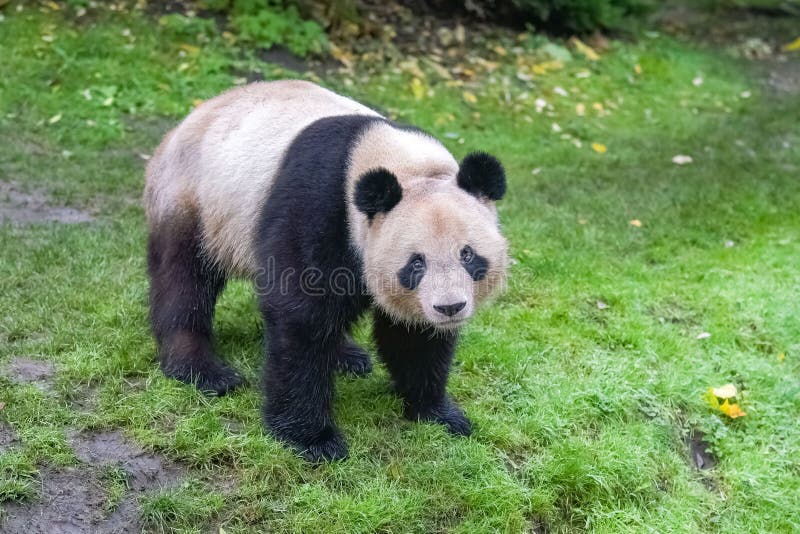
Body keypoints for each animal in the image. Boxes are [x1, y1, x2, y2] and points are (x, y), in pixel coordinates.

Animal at [144, 80, 509, 461]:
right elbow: (303, 315)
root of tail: (182, 124)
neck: (404, 165)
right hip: (195, 200)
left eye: (467, 254)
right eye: (416, 263)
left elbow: (413, 336)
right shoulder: (319, 209)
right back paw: (202, 370)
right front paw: (313, 439)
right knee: (184, 280)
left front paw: (439, 413)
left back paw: (348, 357)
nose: (450, 308)